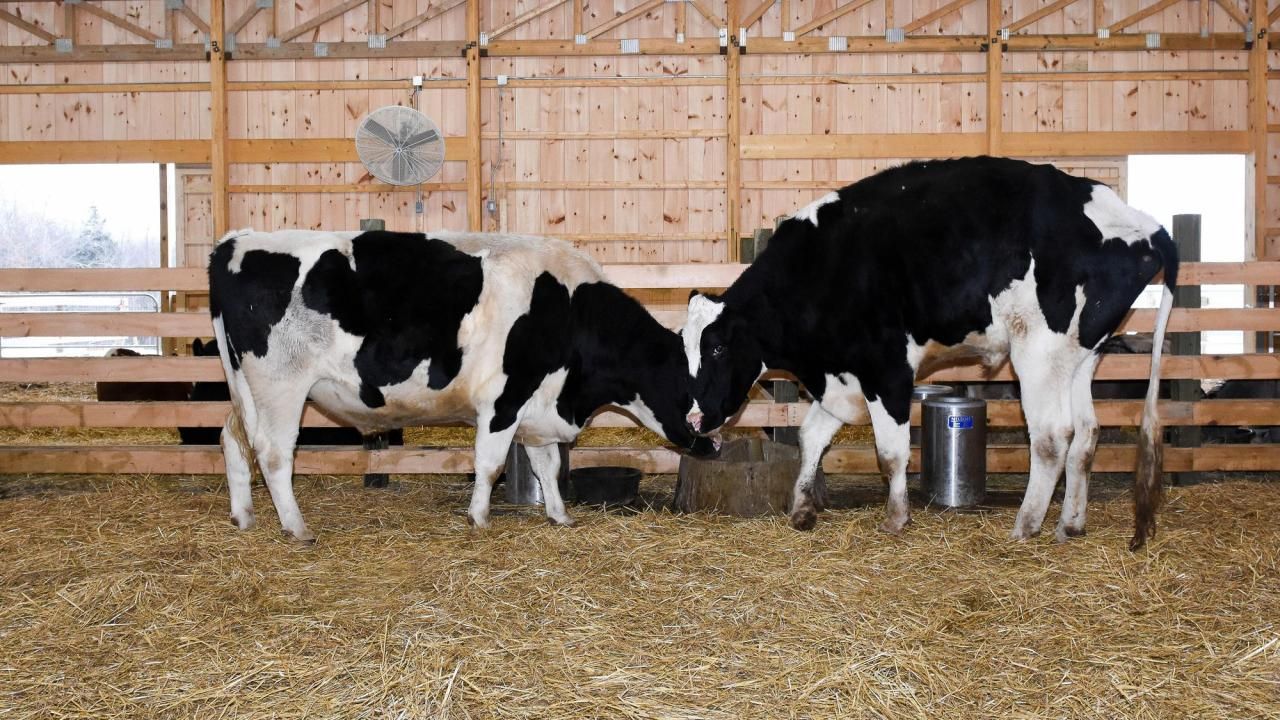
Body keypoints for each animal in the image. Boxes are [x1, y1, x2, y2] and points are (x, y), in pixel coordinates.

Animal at [208, 228, 718, 542]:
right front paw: (479, 518)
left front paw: (559, 516)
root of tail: (238, 240)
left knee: (232, 438)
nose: (713, 442)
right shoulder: (503, 399)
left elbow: (548, 466)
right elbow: (489, 466)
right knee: (274, 453)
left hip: (245, 389)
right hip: (281, 385)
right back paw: (297, 528)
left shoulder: (537, 406)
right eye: (688, 378)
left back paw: (243, 516)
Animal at [681, 156, 1177, 550]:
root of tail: (1137, 220)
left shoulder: (886, 371)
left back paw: (1026, 525)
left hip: (1039, 352)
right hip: (1082, 355)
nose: (694, 419)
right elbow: (811, 437)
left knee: (1053, 436)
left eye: (719, 347)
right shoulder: (844, 377)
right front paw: (803, 509)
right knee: (1088, 434)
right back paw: (1070, 524)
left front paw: (896, 518)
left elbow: (891, 453)